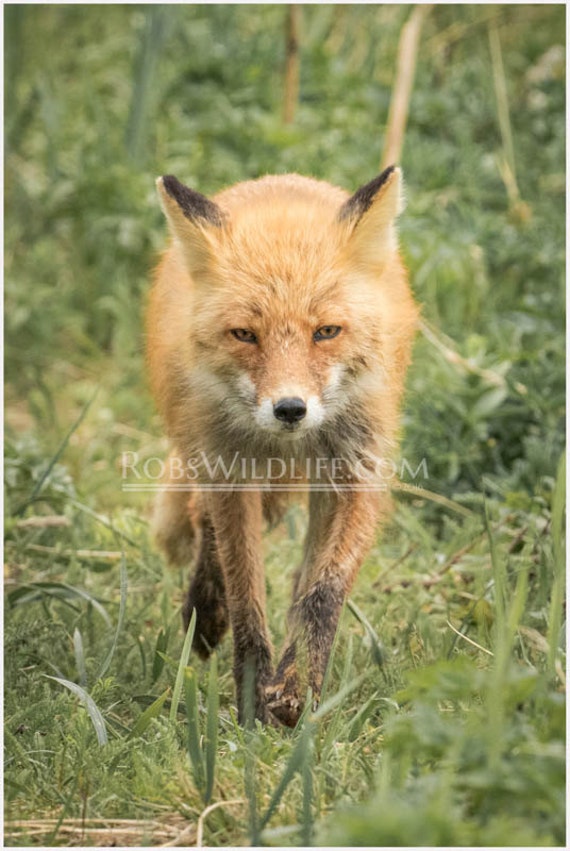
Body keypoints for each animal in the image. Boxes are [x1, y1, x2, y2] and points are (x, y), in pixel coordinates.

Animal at [146, 166, 418, 726]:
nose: (290, 409)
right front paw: (252, 698)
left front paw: (297, 689)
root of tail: (280, 178)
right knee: (204, 526)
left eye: (327, 331)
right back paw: (205, 613)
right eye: (244, 334)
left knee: (301, 569)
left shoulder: (359, 470)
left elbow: (323, 592)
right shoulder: (229, 470)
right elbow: (245, 594)